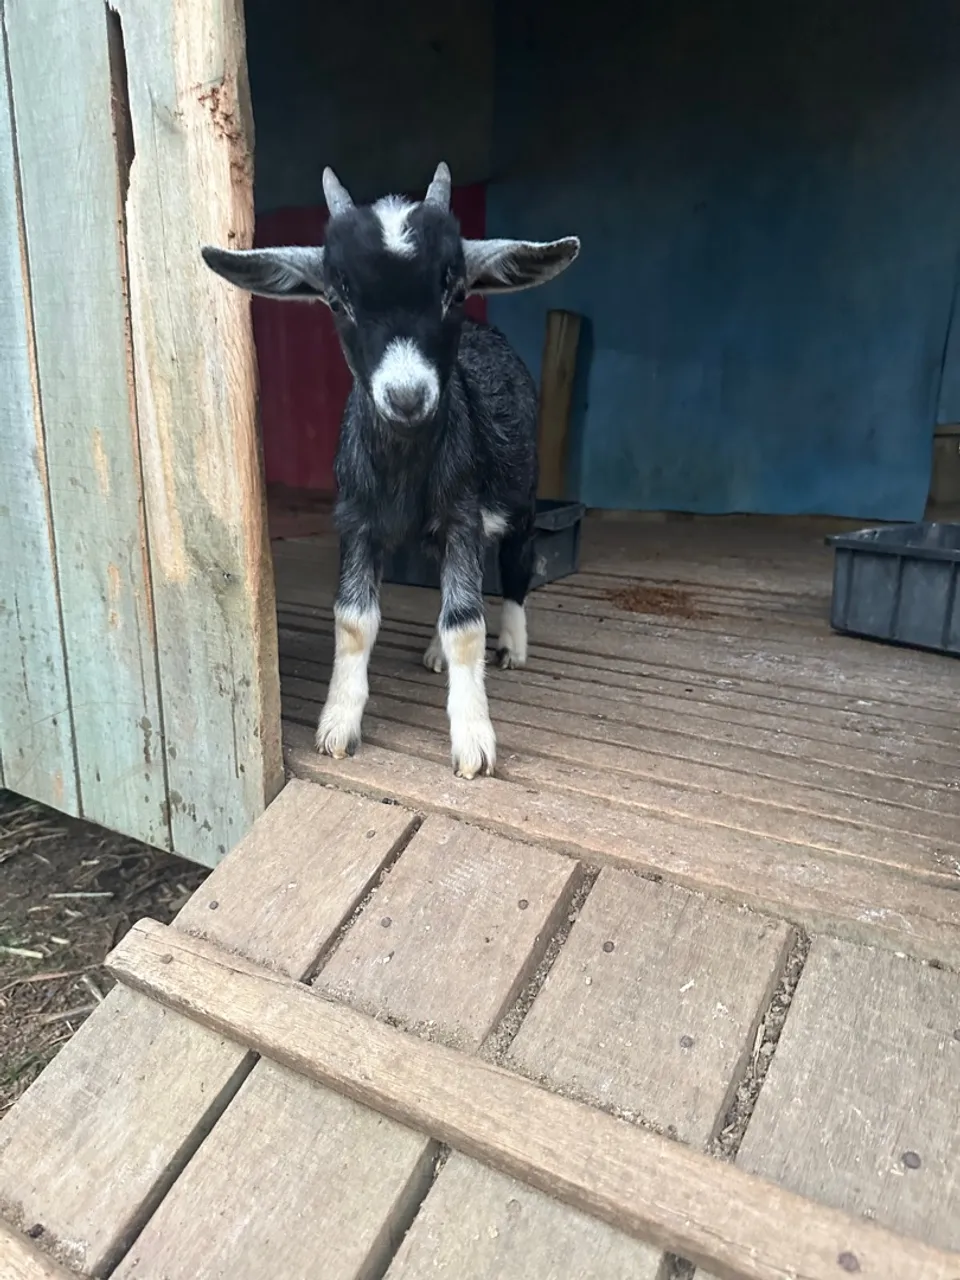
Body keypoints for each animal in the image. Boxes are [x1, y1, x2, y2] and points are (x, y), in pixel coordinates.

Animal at [202, 162, 579, 779]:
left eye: (455, 291)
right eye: (337, 300)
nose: (407, 396)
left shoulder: (461, 514)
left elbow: (466, 624)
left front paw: (473, 740)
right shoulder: (356, 520)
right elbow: (355, 620)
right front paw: (337, 725)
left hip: (520, 501)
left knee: (515, 570)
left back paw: (514, 645)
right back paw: (432, 651)